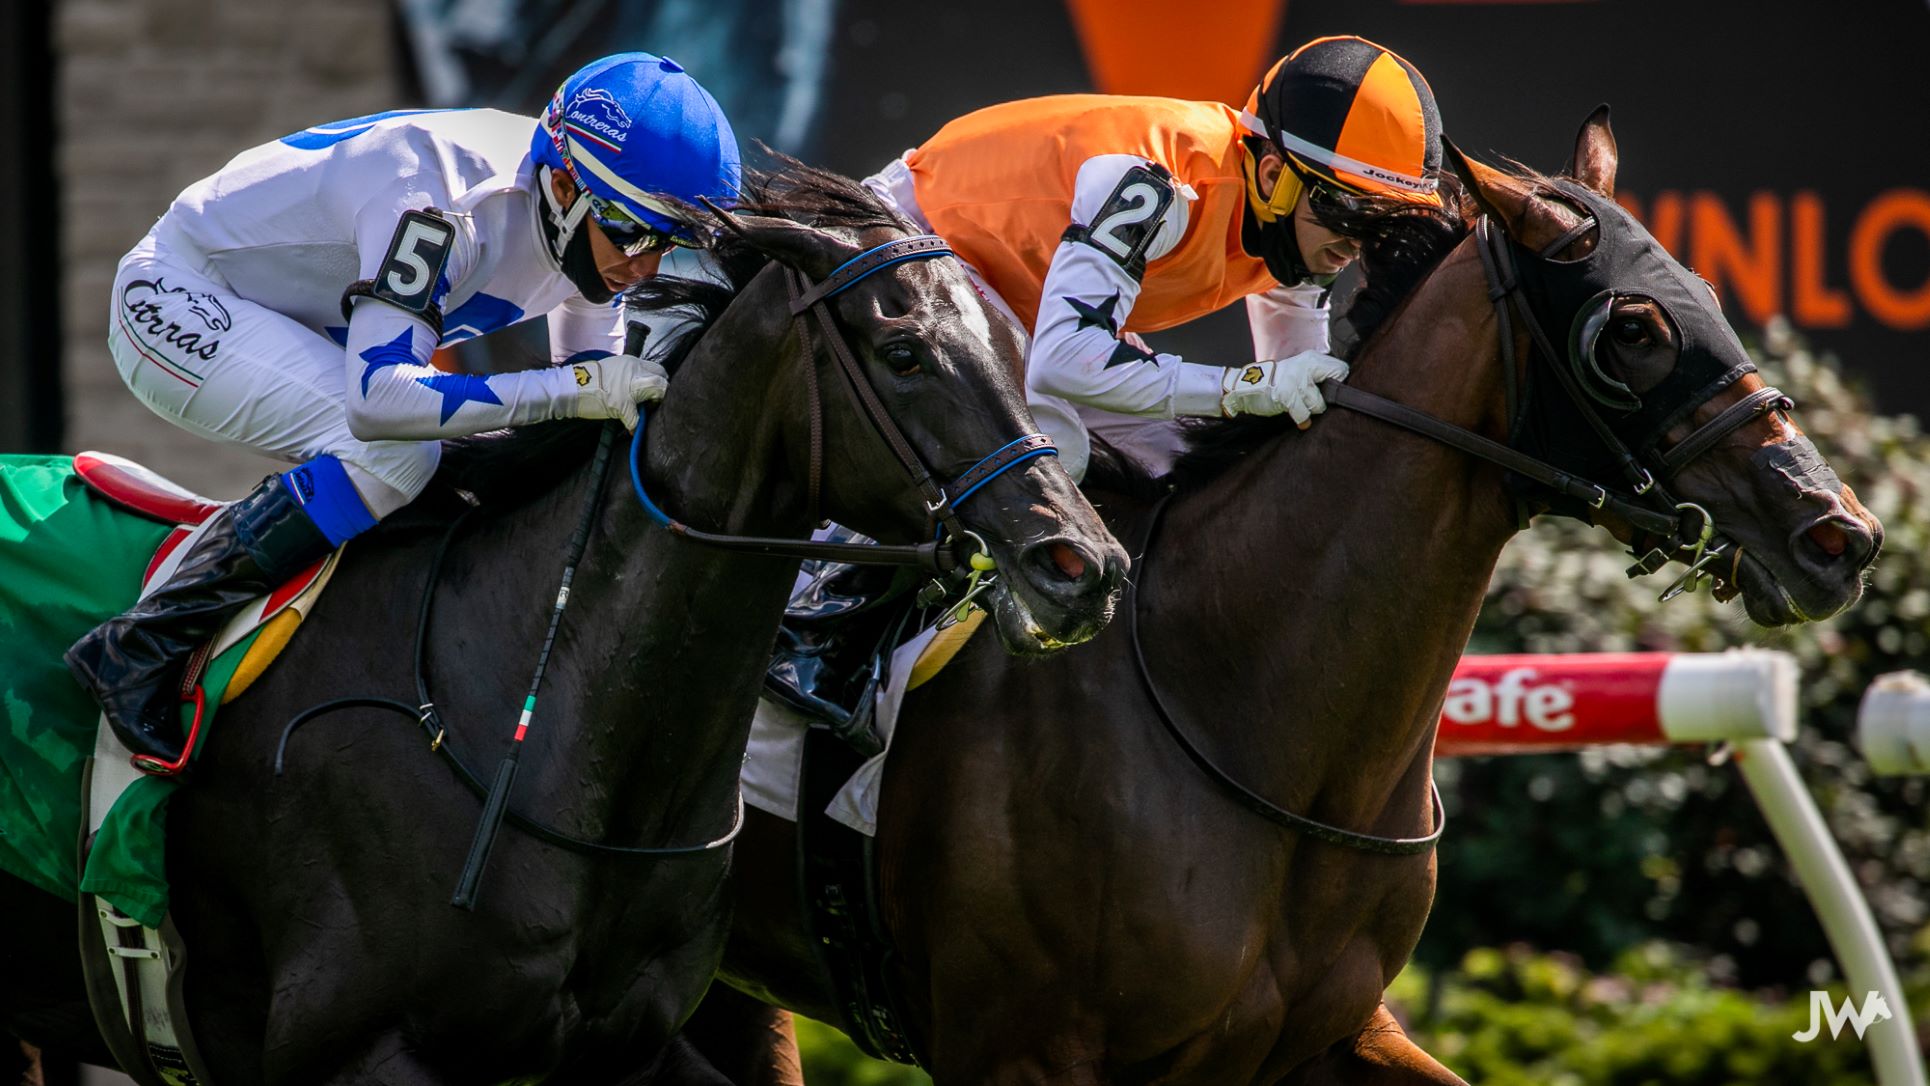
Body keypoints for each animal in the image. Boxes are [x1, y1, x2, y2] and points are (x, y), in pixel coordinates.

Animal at [0, 162, 1128, 1083]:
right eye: (903, 353)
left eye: (1015, 343)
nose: (1083, 565)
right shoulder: (356, 1049)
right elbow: (388, 394)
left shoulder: (628, 1049)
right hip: (168, 313)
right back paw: (125, 664)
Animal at [663, 111, 1885, 1085]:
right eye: (1631, 329)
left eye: (1714, 297)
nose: (1839, 535)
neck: (1239, 706)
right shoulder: (1017, 1049)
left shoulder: (1325, 1037)